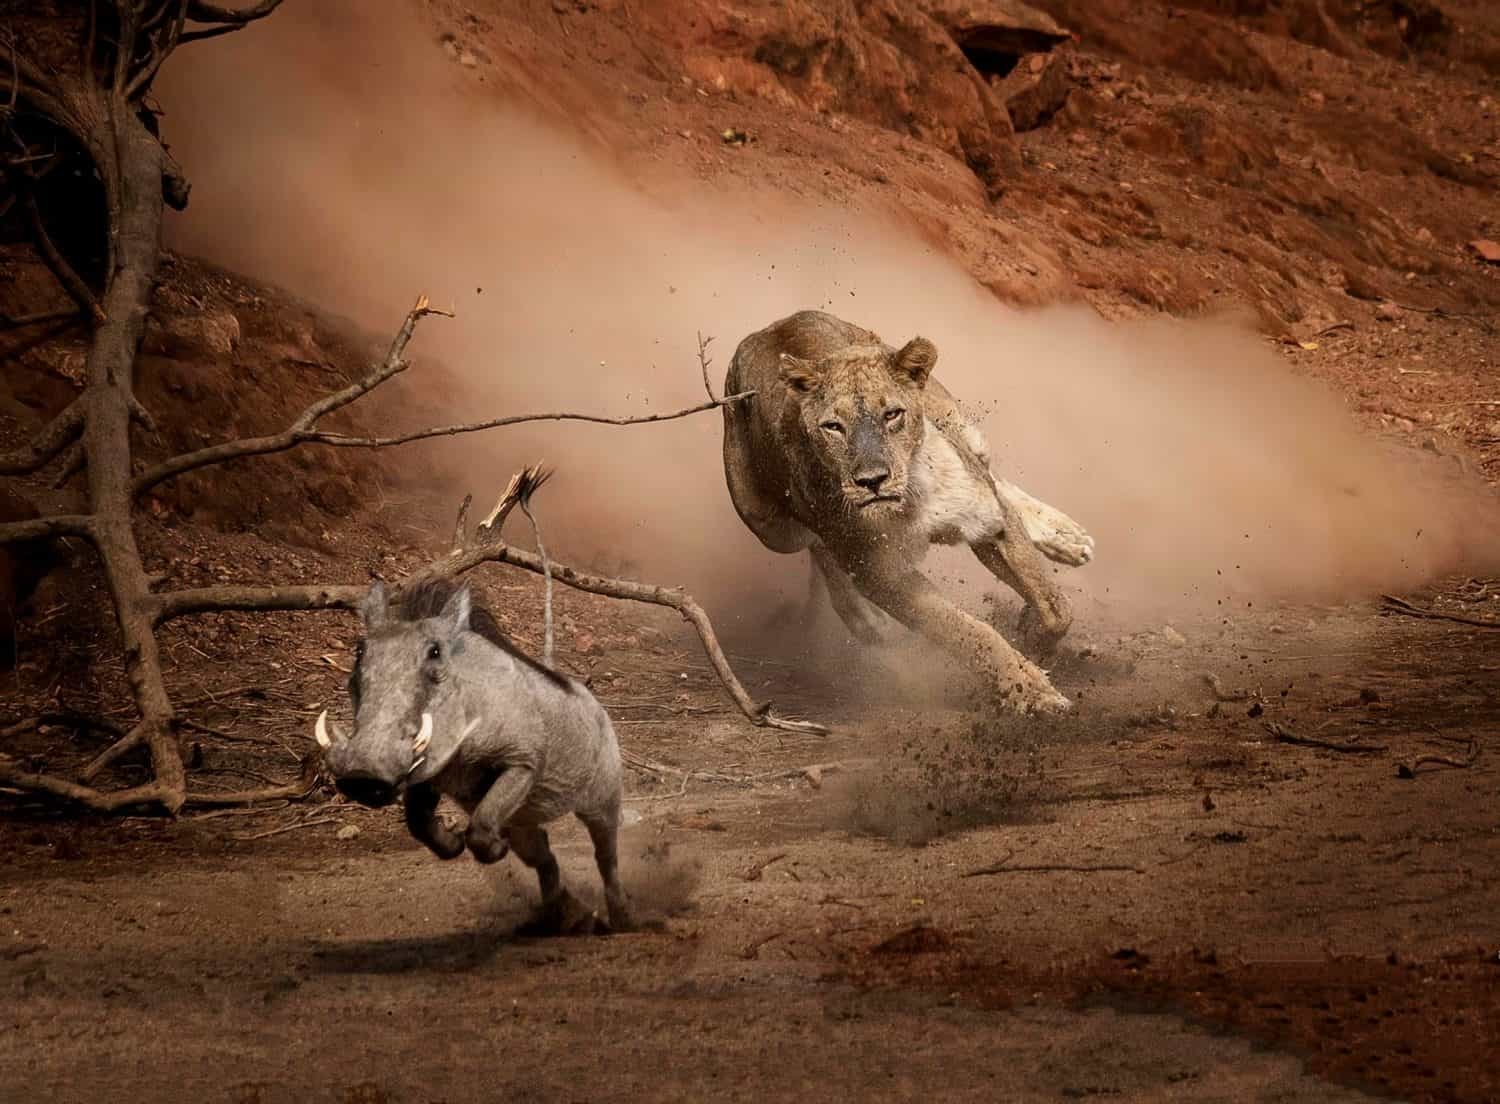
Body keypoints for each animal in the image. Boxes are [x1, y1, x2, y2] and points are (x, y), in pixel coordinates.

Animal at [721, 310, 1094, 713]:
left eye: (892, 414)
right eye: (833, 427)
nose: (872, 481)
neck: (910, 496)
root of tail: (773, 326)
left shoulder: (988, 522)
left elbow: (1055, 607)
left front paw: (1032, 636)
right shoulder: (882, 573)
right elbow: (964, 631)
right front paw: (1029, 688)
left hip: (952, 418)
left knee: (989, 471)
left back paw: (1068, 538)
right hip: (768, 525)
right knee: (817, 544)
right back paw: (864, 618)